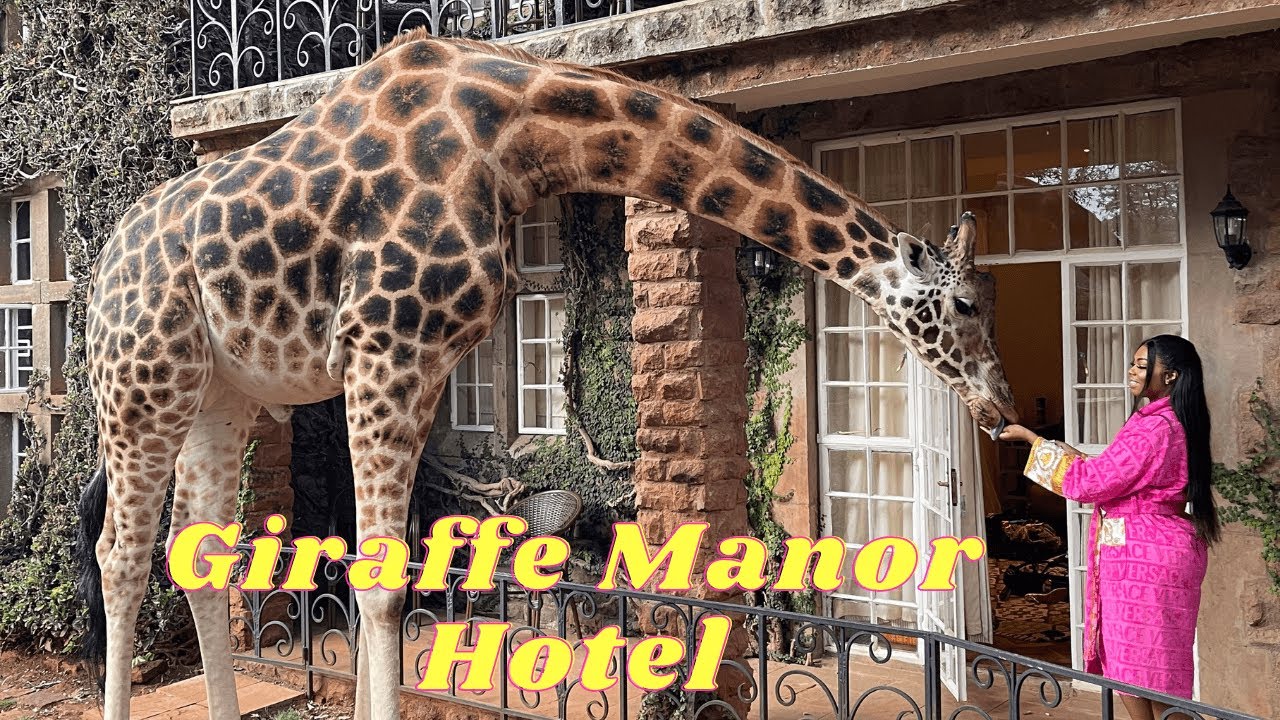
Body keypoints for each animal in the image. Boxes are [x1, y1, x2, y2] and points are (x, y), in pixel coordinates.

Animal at [71, 30, 1019, 720]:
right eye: (970, 304)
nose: (1000, 404)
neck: (517, 134)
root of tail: (104, 268)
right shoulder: (386, 346)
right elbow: (381, 579)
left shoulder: (414, 360)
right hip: (142, 377)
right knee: (119, 551)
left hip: (220, 393)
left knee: (193, 551)